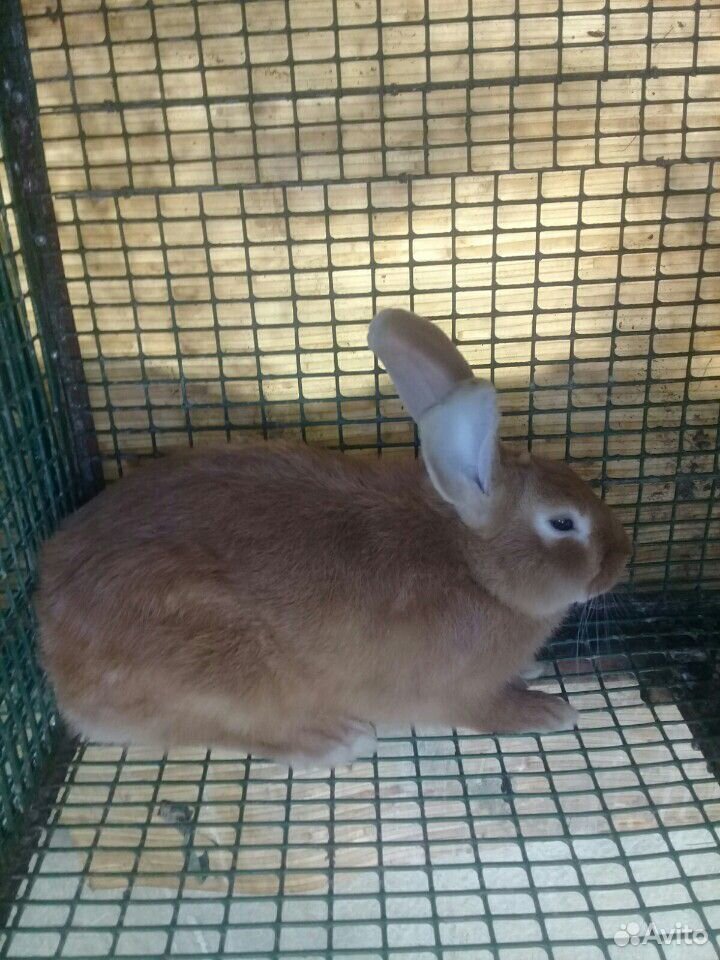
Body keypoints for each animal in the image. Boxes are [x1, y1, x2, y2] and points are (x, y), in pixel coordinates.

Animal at [36, 308, 630, 766]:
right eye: (562, 523)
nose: (622, 560)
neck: (475, 564)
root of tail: (59, 668)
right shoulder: (458, 692)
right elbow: (486, 712)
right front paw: (548, 711)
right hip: (224, 676)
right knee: (232, 731)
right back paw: (331, 742)